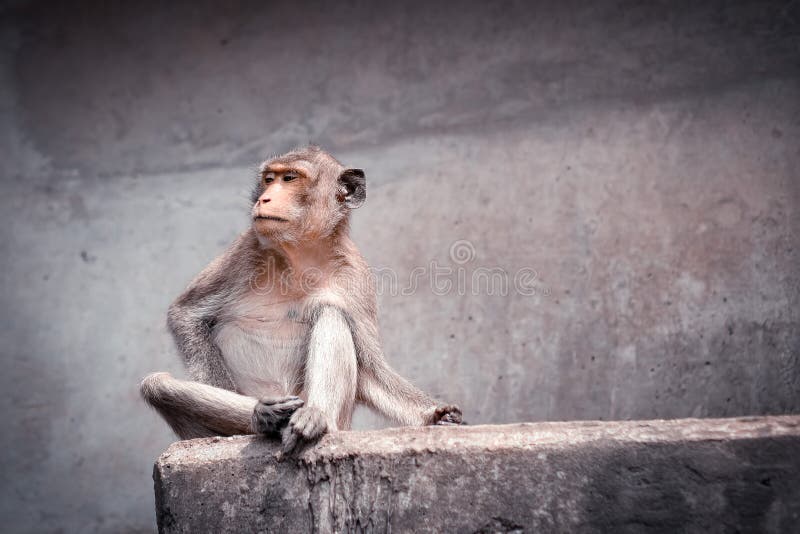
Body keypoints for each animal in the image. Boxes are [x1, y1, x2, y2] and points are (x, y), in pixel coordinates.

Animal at [140, 146, 462, 453]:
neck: (300, 259)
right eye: (269, 179)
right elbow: (185, 314)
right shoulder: (246, 250)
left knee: (332, 314)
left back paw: (315, 418)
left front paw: (434, 416)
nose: (265, 199)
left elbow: (371, 370)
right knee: (156, 385)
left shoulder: (357, 277)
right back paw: (264, 416)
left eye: (290, 178)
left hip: (338, 418)